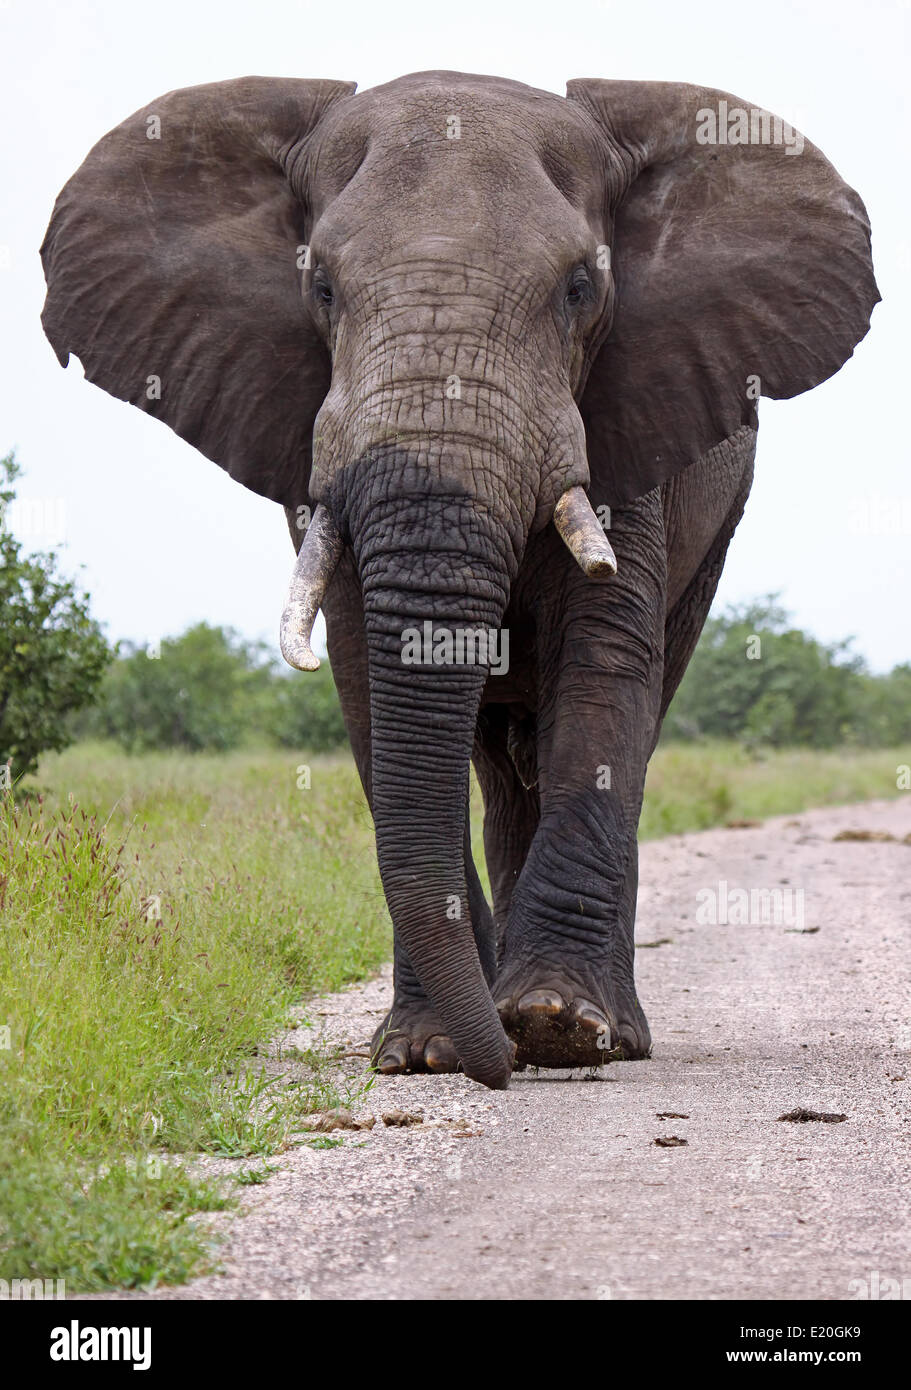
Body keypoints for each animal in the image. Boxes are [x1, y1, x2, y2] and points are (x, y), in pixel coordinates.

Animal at [40, 71, 878, 1091]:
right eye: (320, 287)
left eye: (579, 287)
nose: (500, 1068)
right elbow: (368, 679)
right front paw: (426, 1051)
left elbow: (603, 672)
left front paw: (557, 1029)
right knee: (499, 766)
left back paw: (590, 1028)